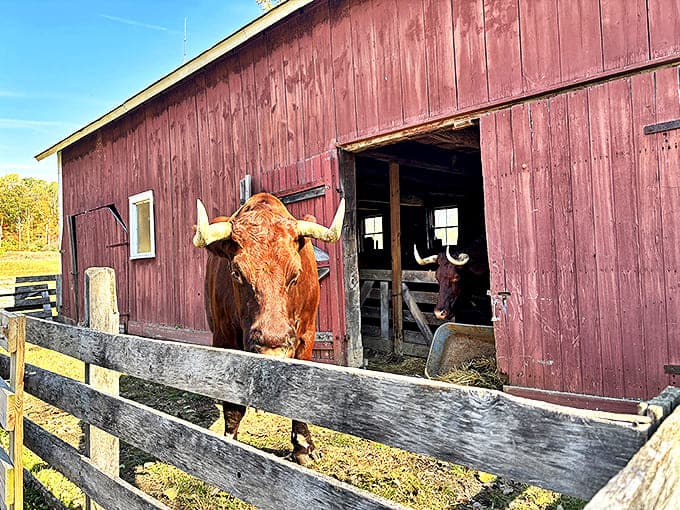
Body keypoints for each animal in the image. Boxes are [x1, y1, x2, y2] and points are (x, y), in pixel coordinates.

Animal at [193, 192, 345, 465]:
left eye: (296, 273)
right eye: (236, 272)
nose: (272, 348)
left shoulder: (306, 336)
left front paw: (303, 447)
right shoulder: (224, 337)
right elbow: (233, 407)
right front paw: (229, 444)